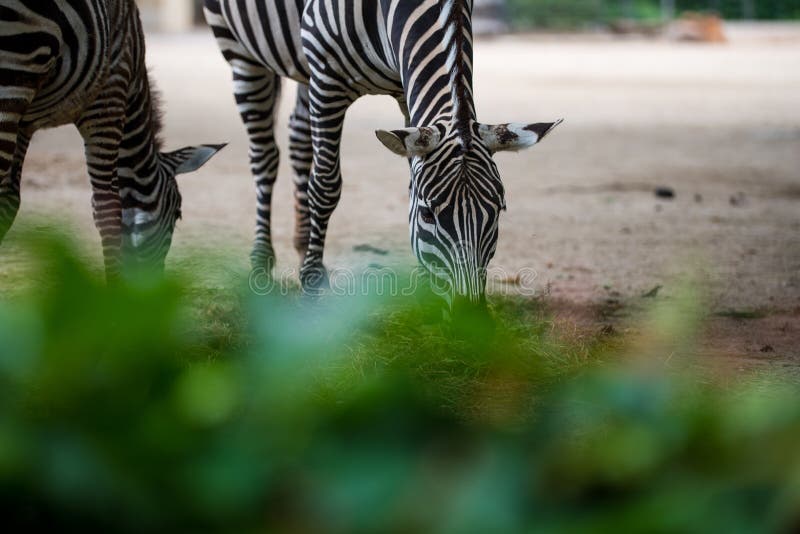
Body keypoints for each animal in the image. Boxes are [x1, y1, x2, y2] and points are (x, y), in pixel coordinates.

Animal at [0, 0, 224, 276]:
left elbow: (10, 199)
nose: (157, 284)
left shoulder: (25, 124)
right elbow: (109, 209)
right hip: (18, 70)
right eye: (178, 213)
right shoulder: (109, 97)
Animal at [205, 0, 560, 311]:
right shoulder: (327, 78)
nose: (471, 321)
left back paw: (303, 244)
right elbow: (325, 186)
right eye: (428, 215)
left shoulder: (405, 86)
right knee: (265, 154)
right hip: (240, 50)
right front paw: (311, 290)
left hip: (303, 68)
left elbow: (410, 181)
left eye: (499, 211)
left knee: (298, 136)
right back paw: (261, 263)